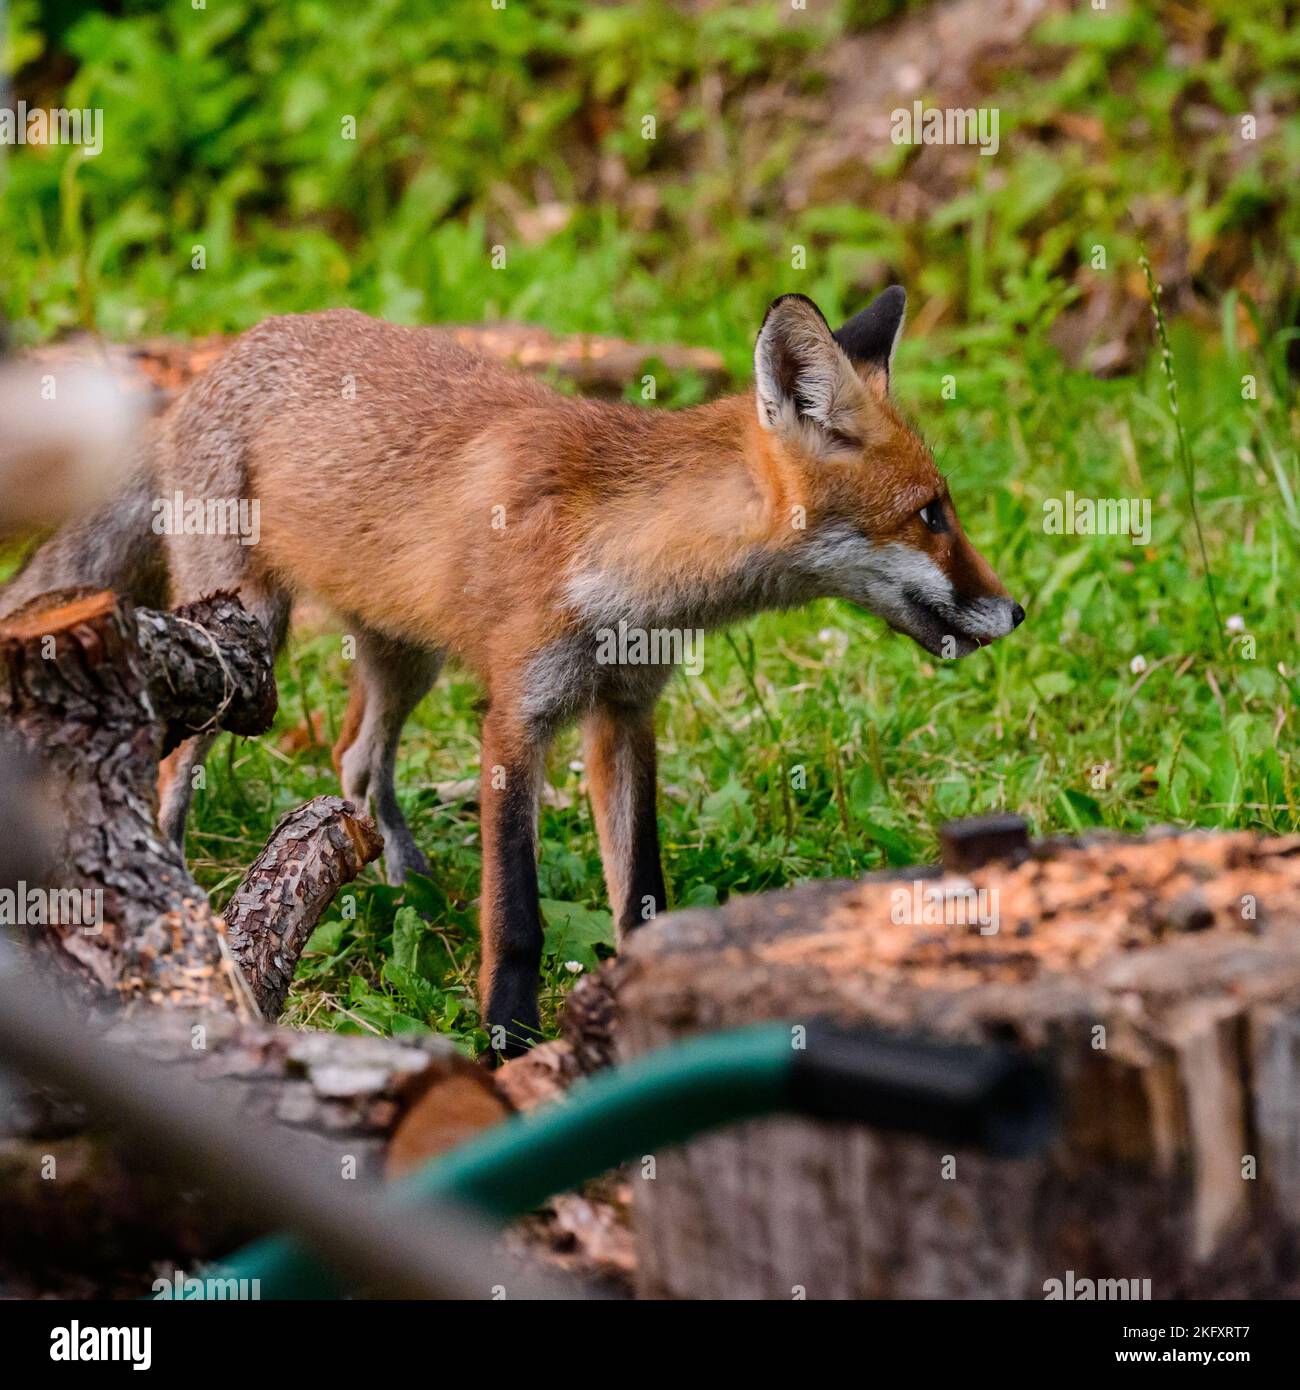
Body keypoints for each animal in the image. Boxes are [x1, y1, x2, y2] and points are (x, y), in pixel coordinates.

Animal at [2, 287, 1023, 1055]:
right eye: (931, 514)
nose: (1016, 613)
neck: (624, 565)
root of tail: (211, 363)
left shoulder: (623, 717)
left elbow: (642, 891)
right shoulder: (515, 719)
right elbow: (520, 918)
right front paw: (505, 1040)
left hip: (404, 655)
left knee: (356, 756)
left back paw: (402, 888)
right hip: (247, 623)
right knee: (187, 755)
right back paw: (181, 880)